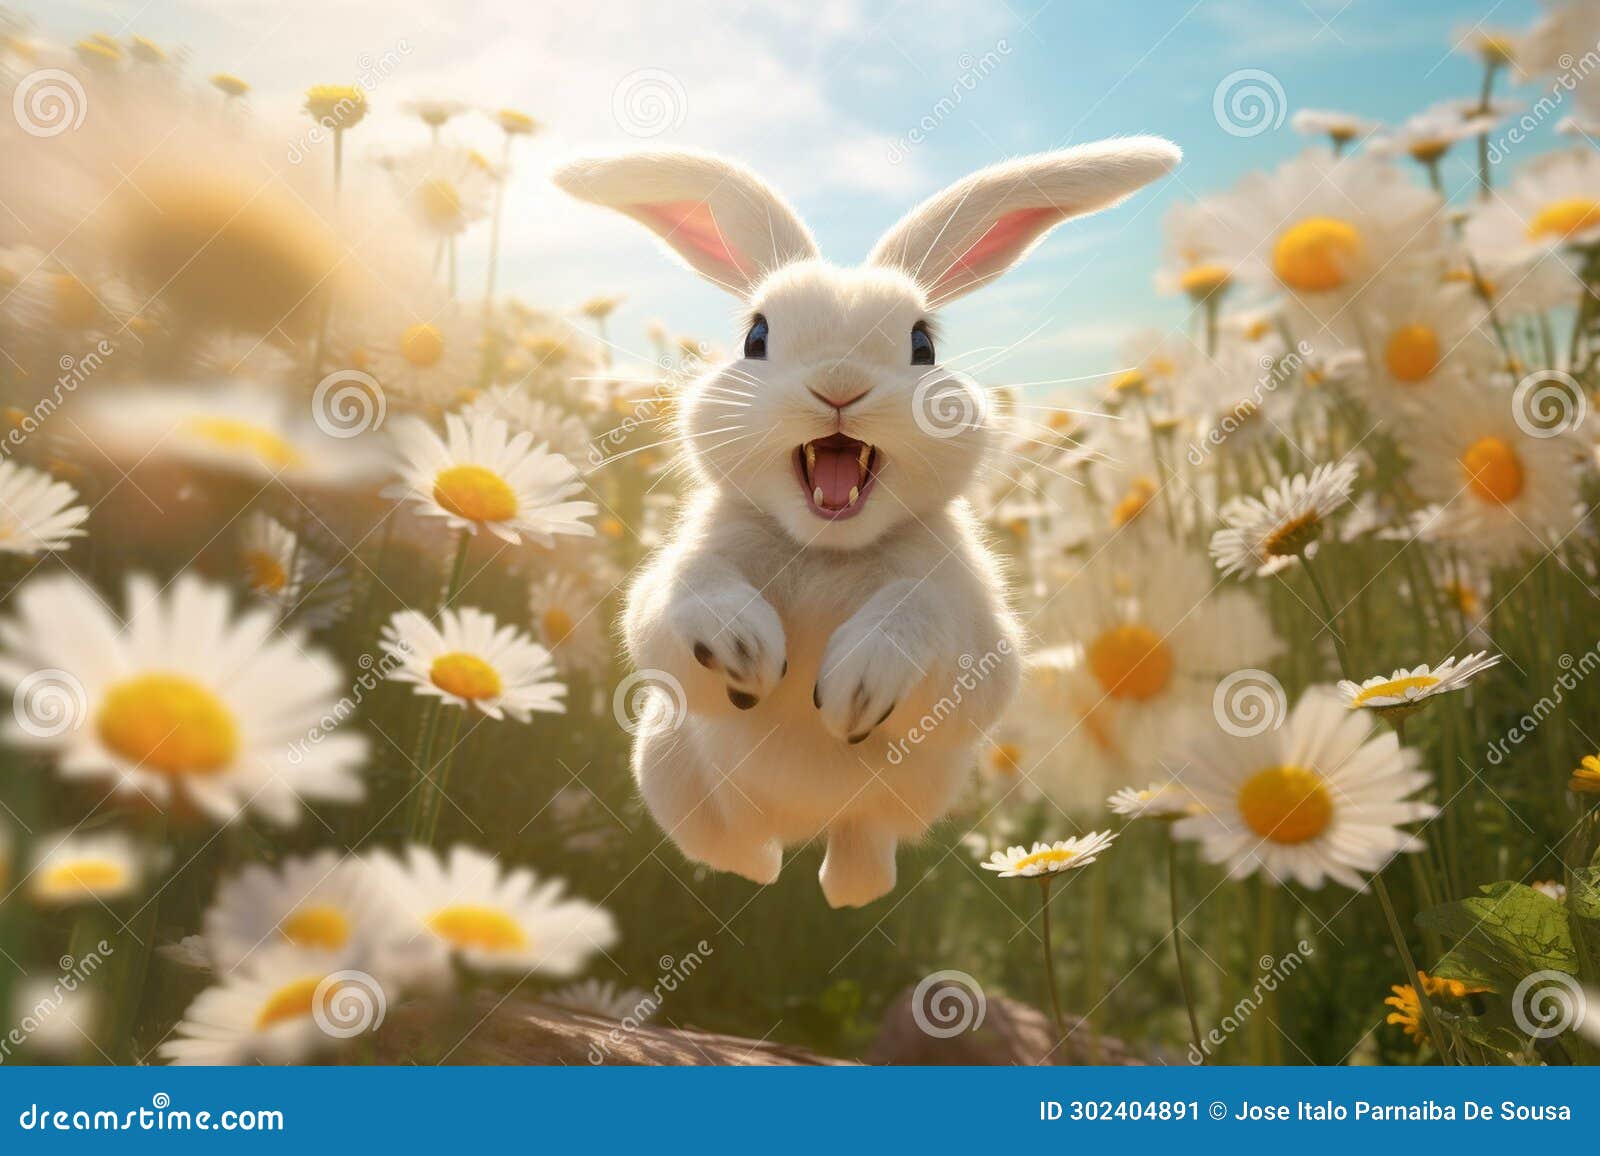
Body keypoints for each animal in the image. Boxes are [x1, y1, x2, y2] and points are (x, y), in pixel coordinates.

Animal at [554, 138, 1180, 907]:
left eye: (922, 345)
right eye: (756, 336)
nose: (839, 384)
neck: (828, 548)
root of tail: (803, 828)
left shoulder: (970, 627)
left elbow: (932, 627)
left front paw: (857, 688)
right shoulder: (680, 588)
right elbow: (673, 607)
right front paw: (743, 651)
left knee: (862, 846)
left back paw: (848, 890)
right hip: (671, 767)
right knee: (732, 847)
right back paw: (763, 868)